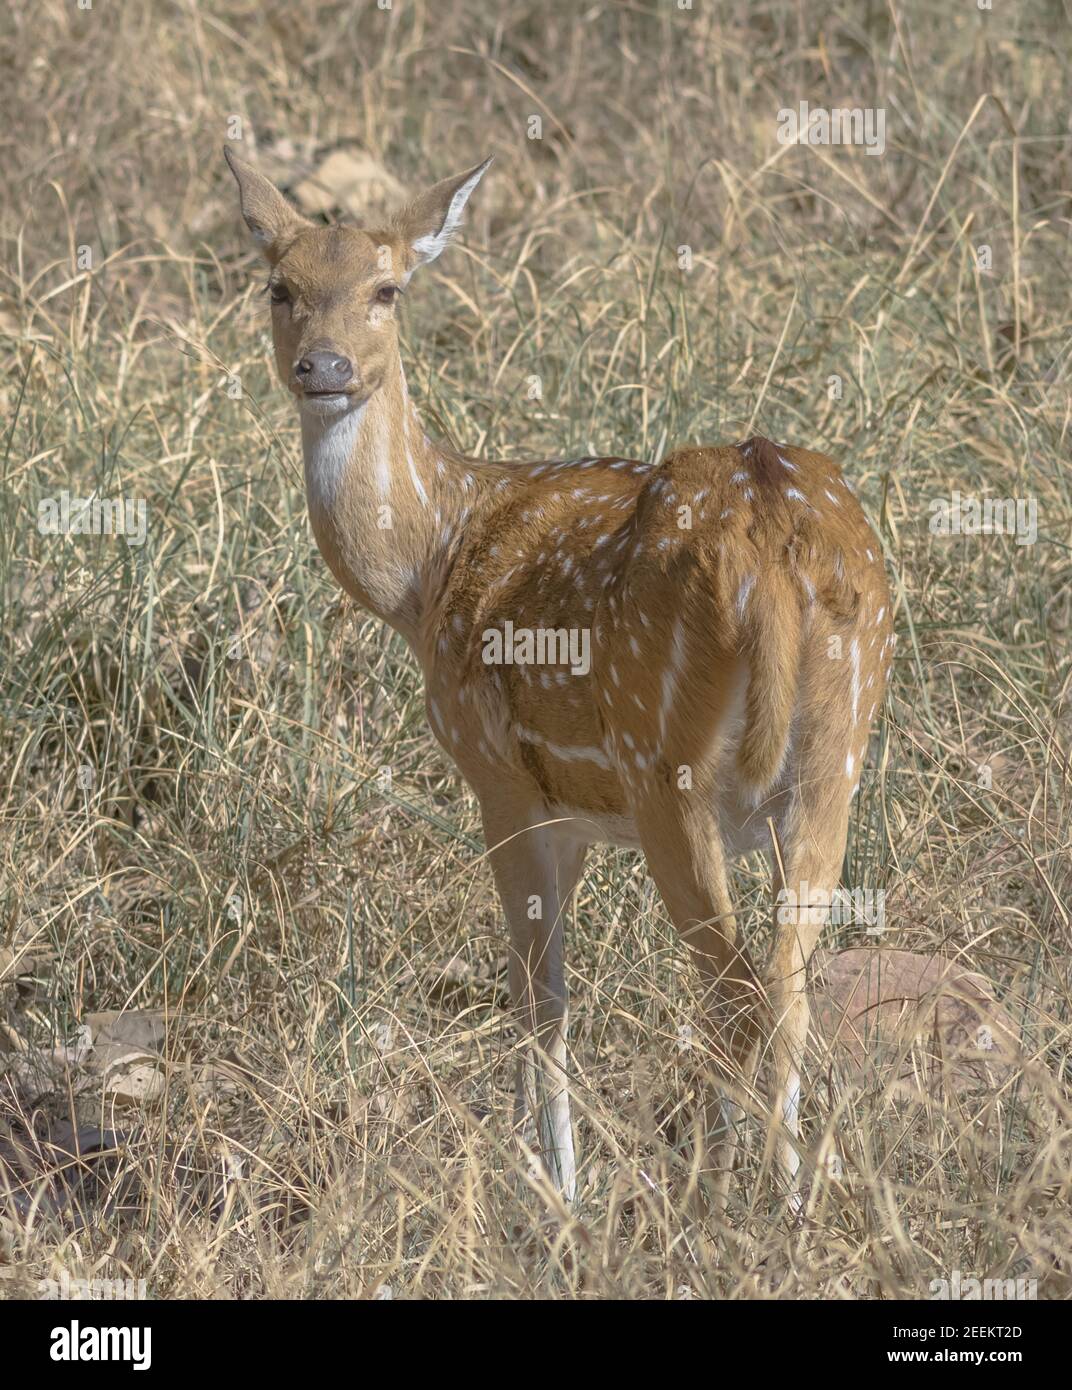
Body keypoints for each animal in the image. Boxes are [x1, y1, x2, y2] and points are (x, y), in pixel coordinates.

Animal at [225, 146, 894, 1211]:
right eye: (278, 286)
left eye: (387, 287)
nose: (322, 368)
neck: (432, 561)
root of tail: (772, 541)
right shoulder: (575, 811)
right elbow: (561, 992)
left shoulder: (498, 773)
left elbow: (536, 998)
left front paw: (553, 1196)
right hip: (838, 752)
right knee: (784, 986)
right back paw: (787, 1196)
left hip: (668, 765)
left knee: (734, 989)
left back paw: (722, 1197)